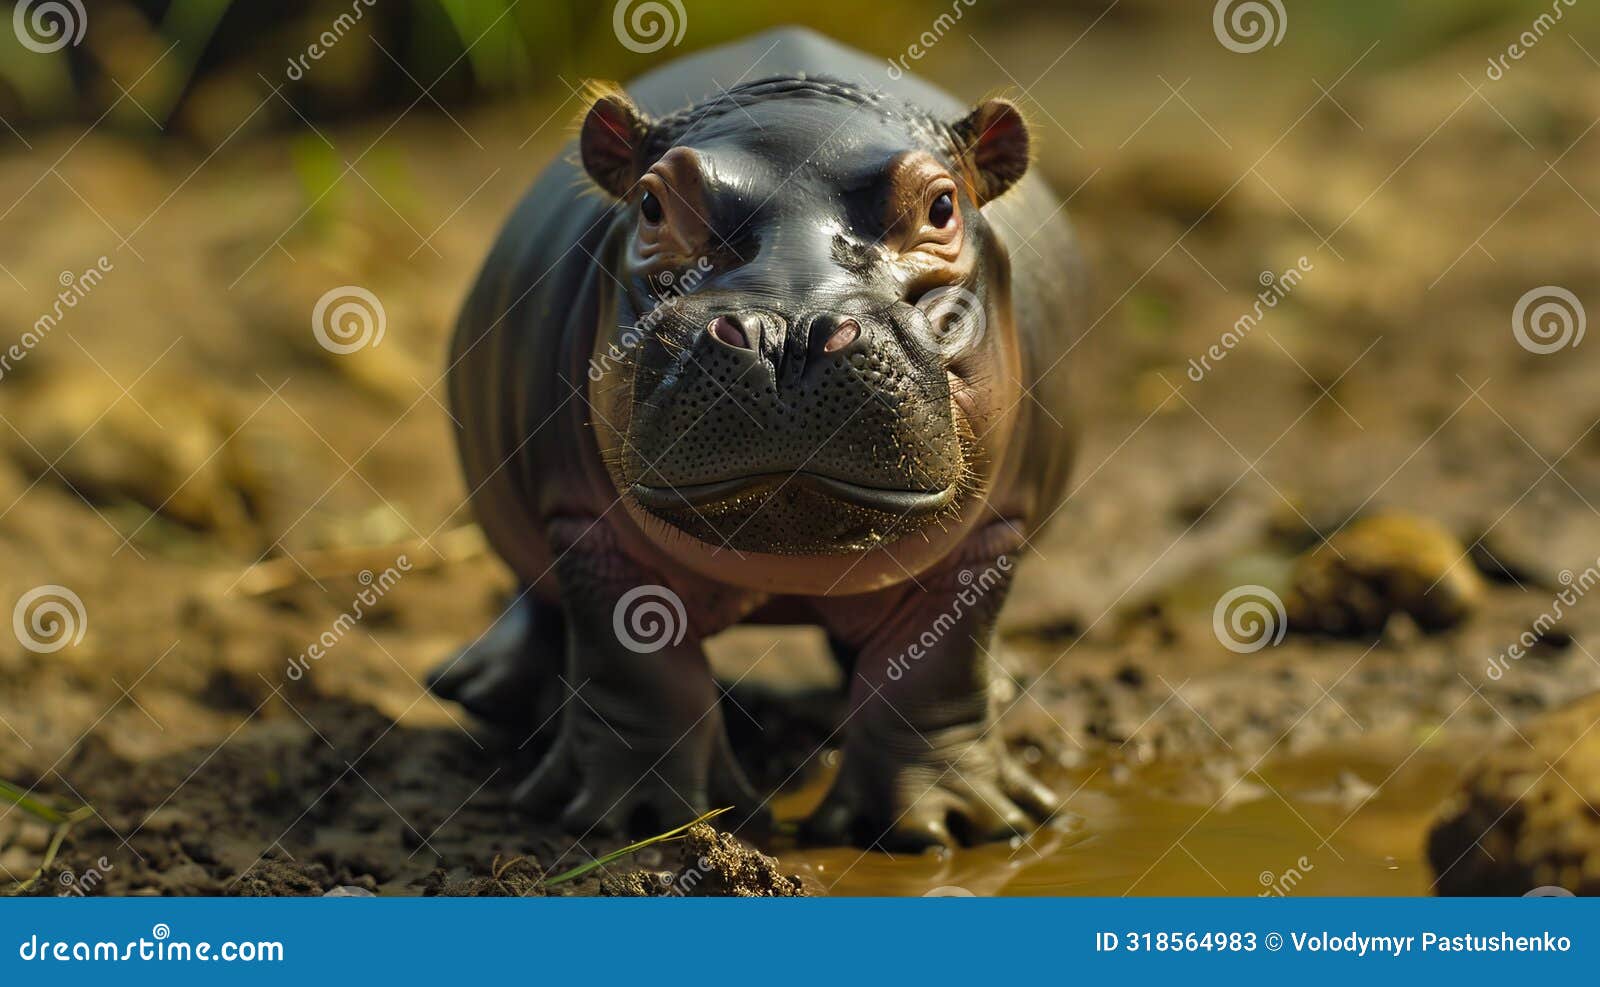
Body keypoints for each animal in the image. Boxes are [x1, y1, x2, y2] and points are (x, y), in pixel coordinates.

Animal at [428, 26, 1087, 849]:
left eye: (942, 205)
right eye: (651, 204)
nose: (787, 333)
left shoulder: (993, 533)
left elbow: (936, 671)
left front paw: (954, 824)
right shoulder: (585, 527)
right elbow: (636, 670)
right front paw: (640, 818)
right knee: (534, 595)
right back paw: (483, 689)